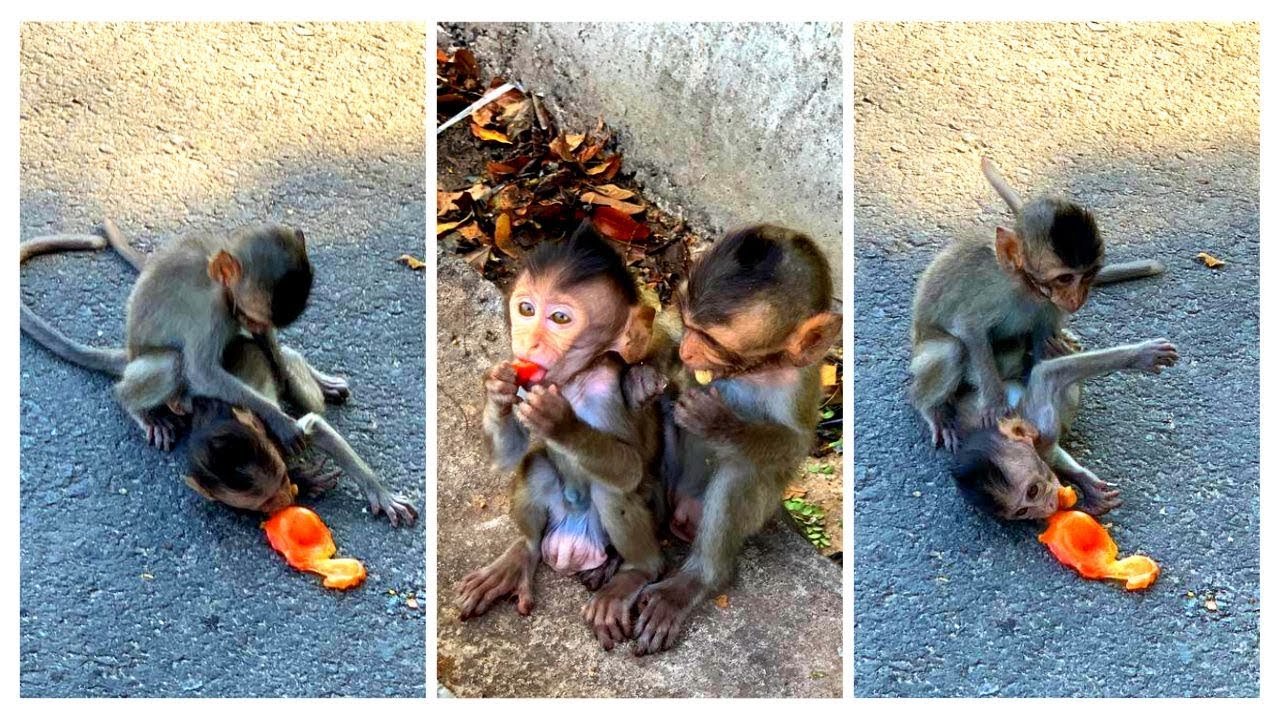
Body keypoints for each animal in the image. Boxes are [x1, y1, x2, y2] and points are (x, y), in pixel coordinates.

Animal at [20, 230, 417, 526]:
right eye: (265, 503)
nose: (286, 501)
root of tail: (129, 354)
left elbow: (310, 421)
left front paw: (379, 492)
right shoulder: (215, 311)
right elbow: (202, 371)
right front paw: (305, 472)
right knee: (173, 365)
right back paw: (143, 410)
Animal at [456, 221, 666, 651]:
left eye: (559, 318)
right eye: (526, 309)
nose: (529, 343)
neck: (570, 382)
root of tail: (570, 547)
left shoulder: (604, 390)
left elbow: (630, 468)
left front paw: (559, 423)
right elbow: (510, 456)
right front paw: (496, 388)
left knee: (613, 492)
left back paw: (636, 571)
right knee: (535, 465)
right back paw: (522, 553)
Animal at [630, 225, 842, 656]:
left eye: (713, 342)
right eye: (689, 324)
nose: (688, 350)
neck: (752, 372)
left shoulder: (797, 385)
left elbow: (793, 446)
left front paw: (720, 424)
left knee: (742, 470)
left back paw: (697, 580)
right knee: (663, 407)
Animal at [909, 157, 1166, 451]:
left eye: (1088, 275)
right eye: (1065, 278)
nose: (1077, 298)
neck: (1028, 289)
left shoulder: (1050, 306)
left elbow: (1042, 340)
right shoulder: (993, 289)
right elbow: (969, 329)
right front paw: (995, 402)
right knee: (952, 350)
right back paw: (934, 410)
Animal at [951, 335, 1179, 519]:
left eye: (1033, 491)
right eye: (1023, 511)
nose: (1049, 508)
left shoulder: (1041, 424)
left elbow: (1047, 374)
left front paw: (1142, 355)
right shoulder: (1042, 446)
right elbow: (1053, 456)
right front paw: (1088, 486)